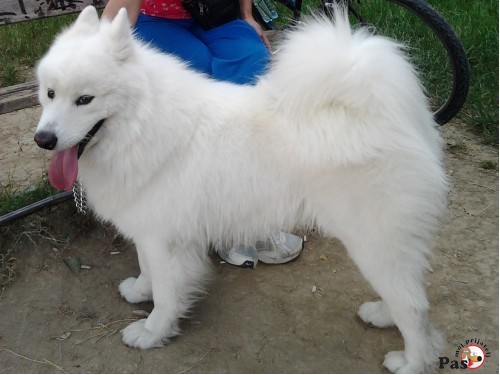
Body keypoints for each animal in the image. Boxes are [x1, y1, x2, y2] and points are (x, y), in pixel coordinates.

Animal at [34, 5, 446, 374]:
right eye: (50, 93)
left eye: (85, 99)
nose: (44, 139)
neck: (142, 123)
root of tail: (384, 113)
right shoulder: (149, 231)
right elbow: (147, 270)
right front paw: (139, 291)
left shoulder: (166, 241)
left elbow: (167, 296)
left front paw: (151, 333)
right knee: (409, 295)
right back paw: (381, 314)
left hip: (374, 242)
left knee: (414, 306)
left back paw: (411, 363)